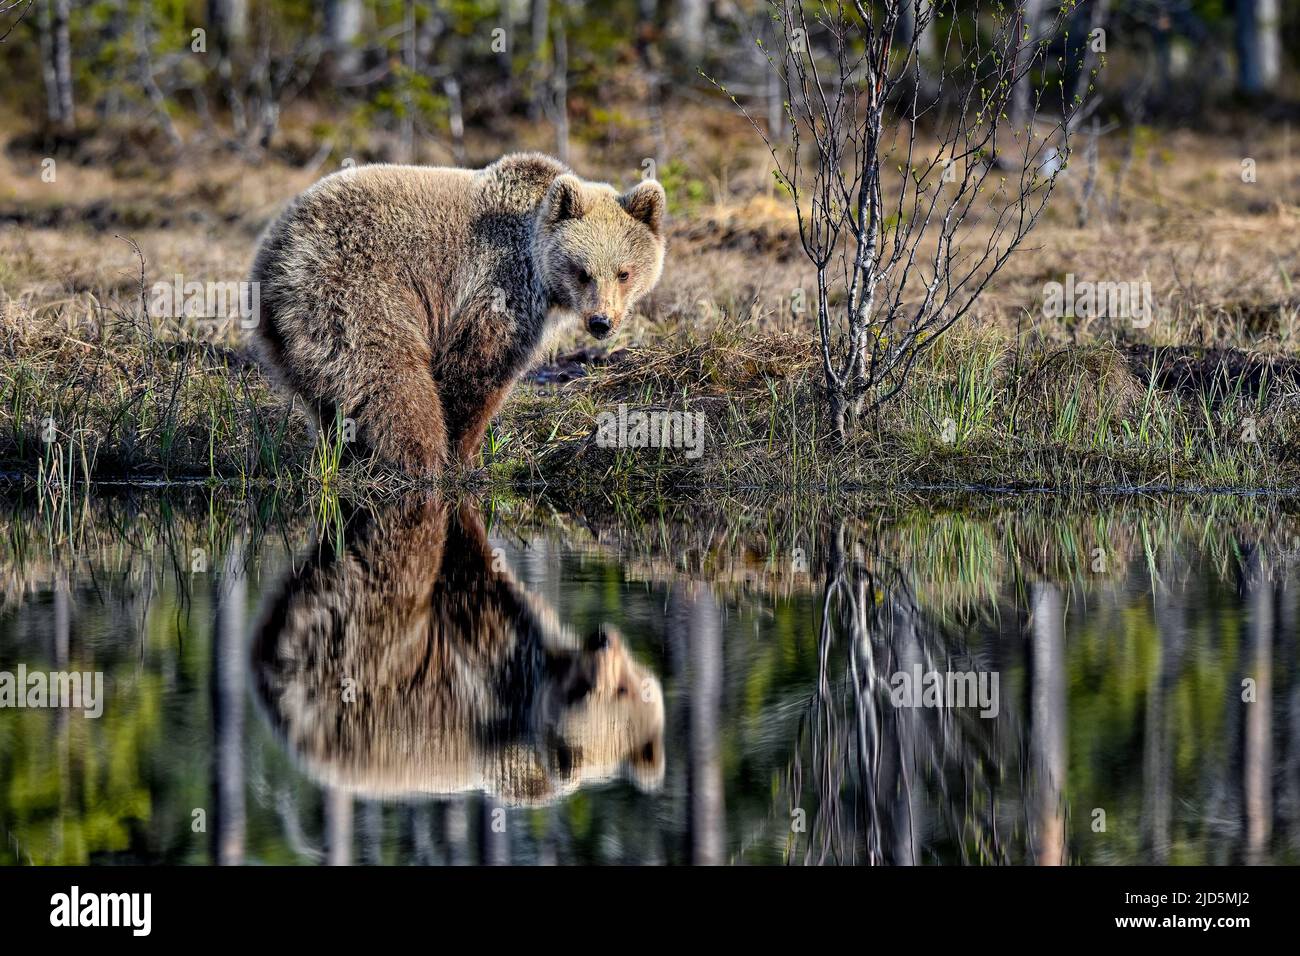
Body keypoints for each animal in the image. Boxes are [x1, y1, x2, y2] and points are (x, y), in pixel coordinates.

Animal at [247, 153, 667, 473]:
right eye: (582, 271)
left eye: (624, 272)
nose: (601, 322)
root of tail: (278, 251)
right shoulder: (498, 284)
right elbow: (476, 369)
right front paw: (464, 455)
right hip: (352, 286)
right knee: (389, 374)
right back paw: (421, 459)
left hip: (284, 330)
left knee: (326, 397)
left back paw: (345, 455)